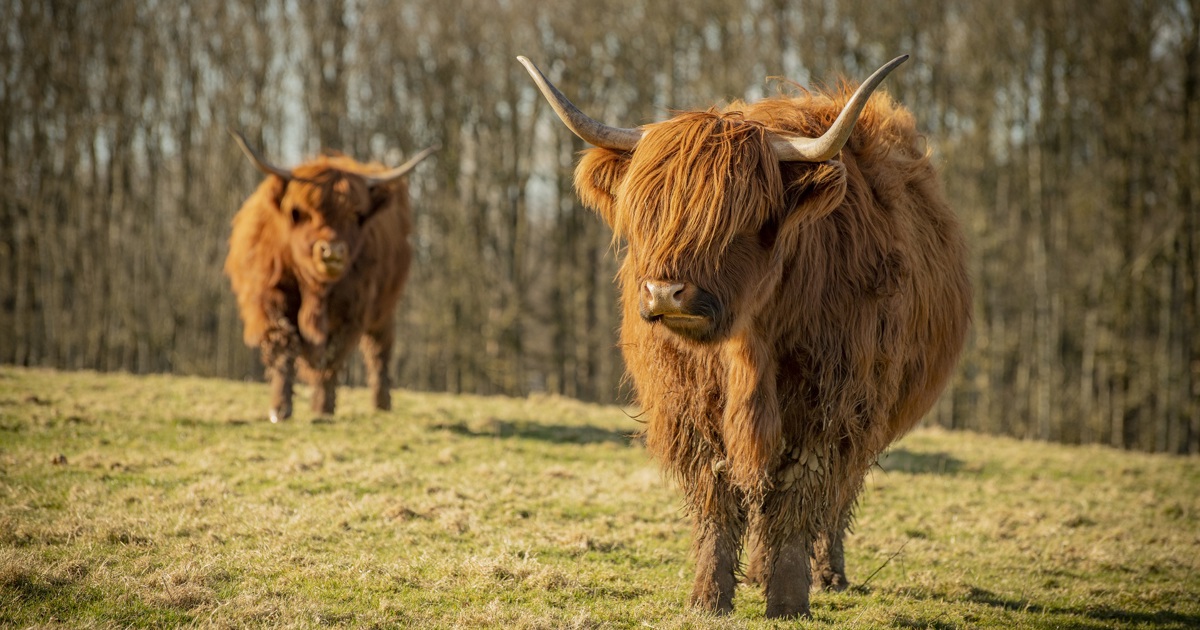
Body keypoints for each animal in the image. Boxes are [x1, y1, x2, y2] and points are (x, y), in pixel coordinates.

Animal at [224, 131, 436, 423]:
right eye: (300, 213)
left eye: (357, 215)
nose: (332, 250)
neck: (315, 288)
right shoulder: (270, 298)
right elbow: (283, 345)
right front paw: (280, 408)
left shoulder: (352, 310)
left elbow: (331, 355)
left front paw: (323, 406)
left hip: (384, 307)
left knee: (379, 349)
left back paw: (381, 402)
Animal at [518, 55, 971, 618]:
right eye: (649, 210)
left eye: (742, 218)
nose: (665, 292)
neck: (749, 345)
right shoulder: (693, 405)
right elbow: (718, 497)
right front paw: (708, 597)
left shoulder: (829, 406)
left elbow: (800, 497)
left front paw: (789, 599)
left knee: (835, 498)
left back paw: (828, 575)